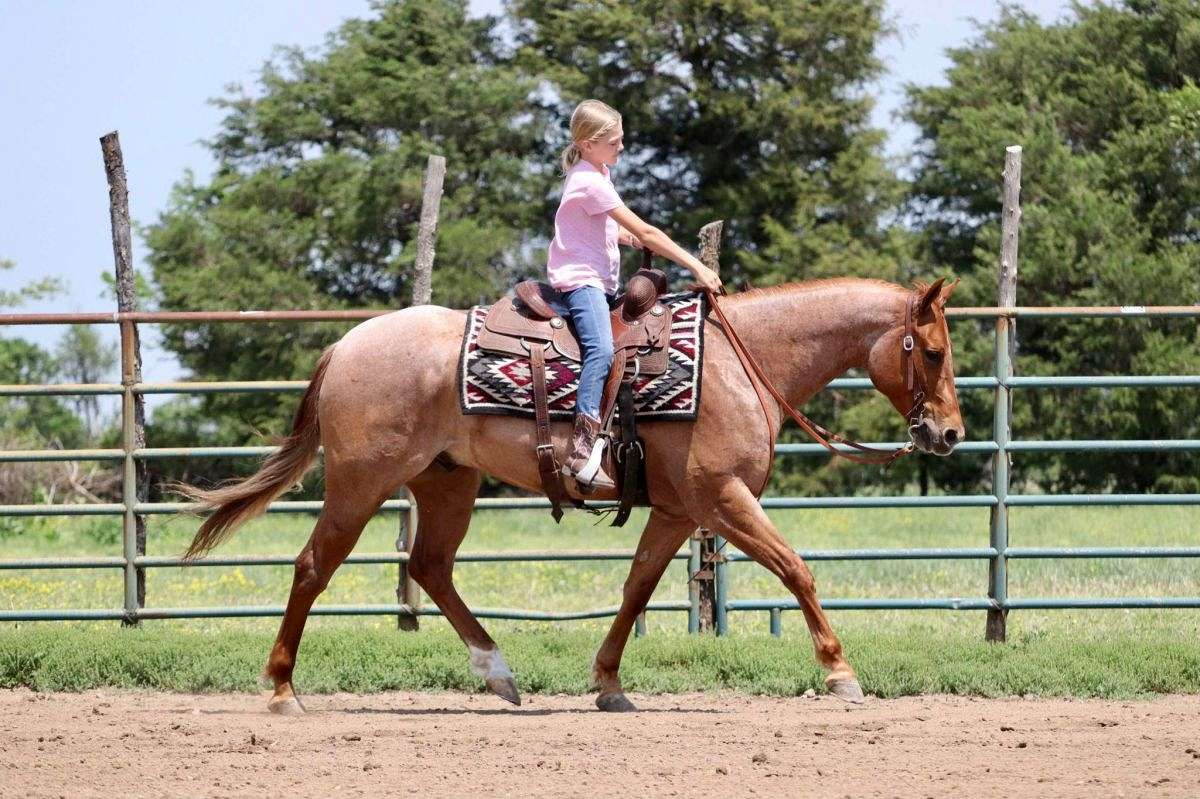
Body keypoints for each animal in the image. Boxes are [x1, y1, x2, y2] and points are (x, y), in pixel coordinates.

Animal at [177, 276, 965, 714]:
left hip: (447, 480)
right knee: (314, 566)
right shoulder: (723, 498)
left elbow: (637, 587)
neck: (741, 363)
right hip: (360, 481)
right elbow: (797, 568)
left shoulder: (679, 509)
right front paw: (840, 673)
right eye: (932, 352)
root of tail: (346, 346)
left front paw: (609, 682)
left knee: (431, 566)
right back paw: (283, 690)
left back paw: (498, 674)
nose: (950, 432)